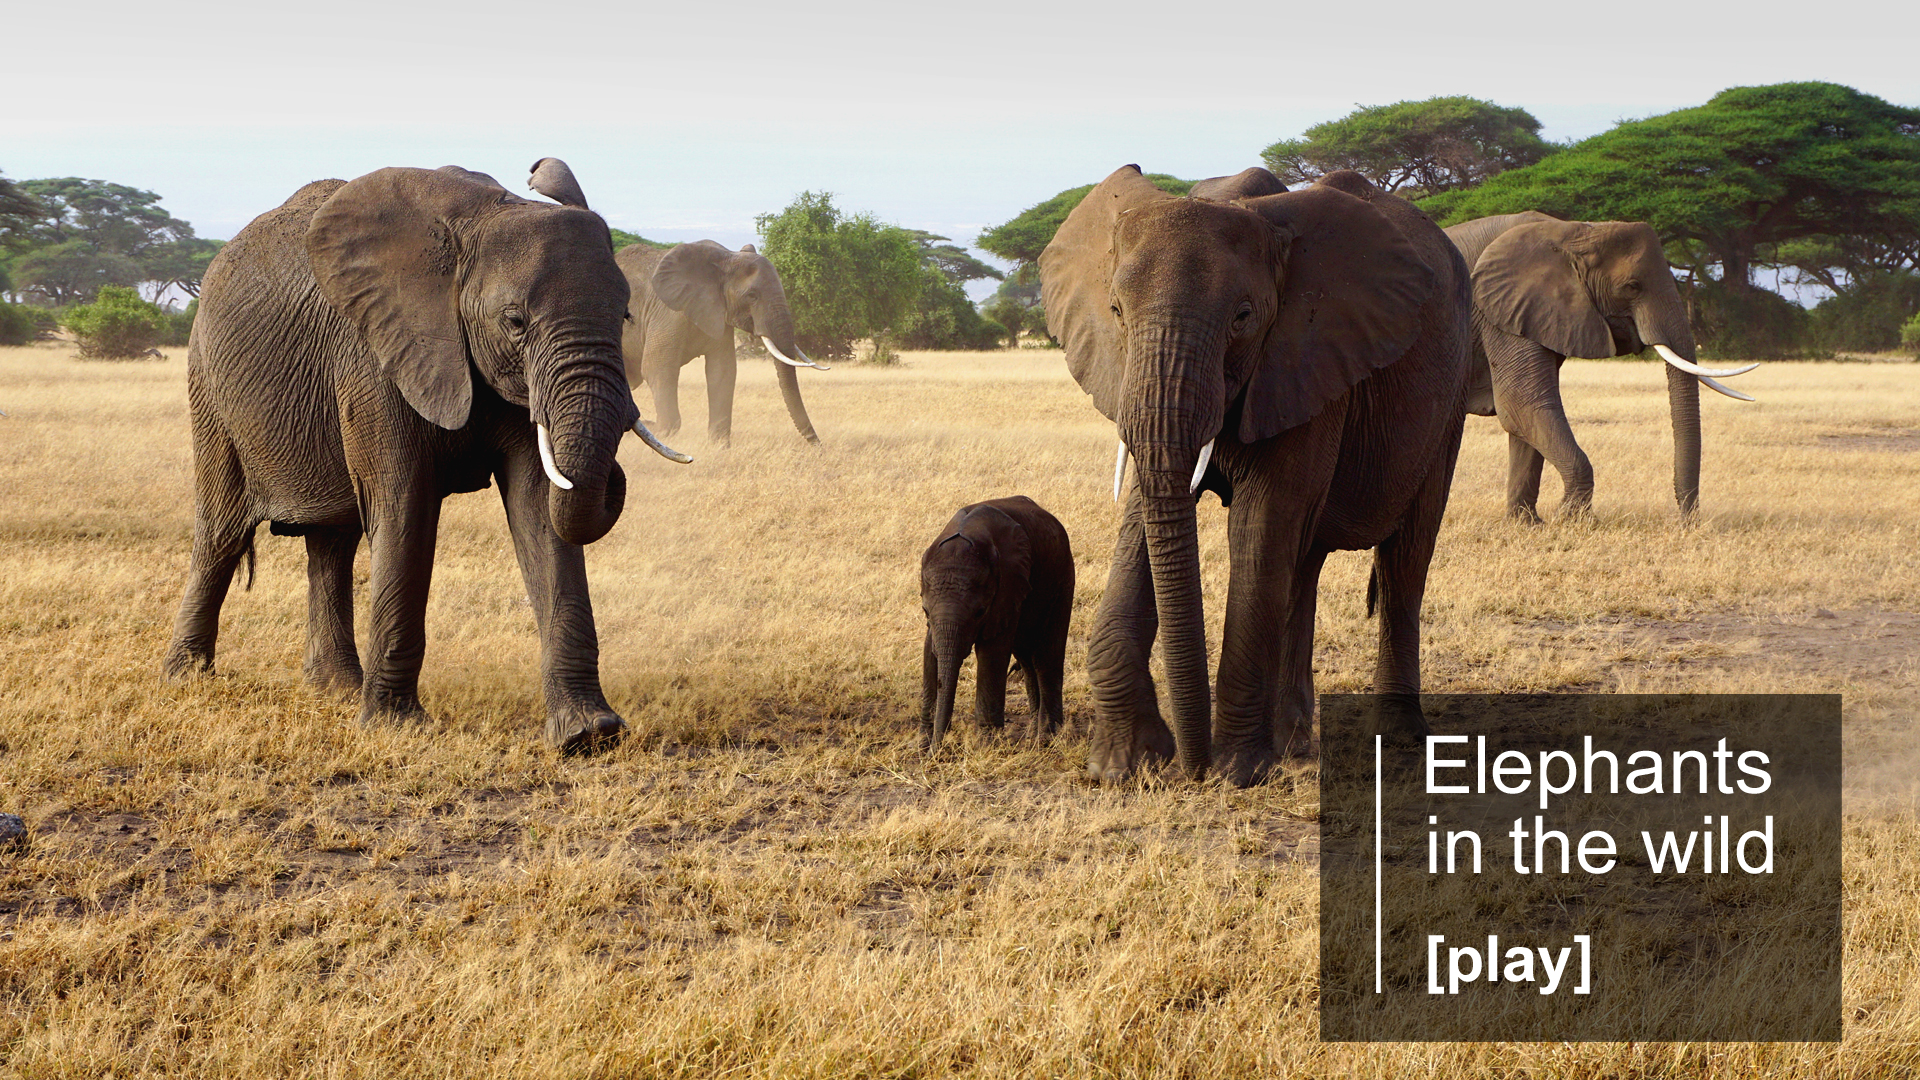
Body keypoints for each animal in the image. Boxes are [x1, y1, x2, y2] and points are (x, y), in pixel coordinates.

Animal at [161, 163, 688, 751]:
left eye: (625, 315)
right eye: (515, 322)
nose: (617, 472)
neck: (483, 220)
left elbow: (539, 510)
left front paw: (588, 735)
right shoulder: (376, 356)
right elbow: (404, 506)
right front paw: (395, 727)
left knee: (333, 542)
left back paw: (337, 690)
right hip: (208, 383)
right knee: (222, 533)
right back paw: (185, 678)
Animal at [526, 159, 825, 446]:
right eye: (751, 296)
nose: (817, 444)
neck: (724, 258)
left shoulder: (716, 314)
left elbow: (722, 371)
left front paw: (718, 446)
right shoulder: (669, 313)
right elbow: (658, 368)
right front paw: (658, 429)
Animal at [918, 496, 1074, 752]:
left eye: (980, 612)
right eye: (925, 611)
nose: (938, 750)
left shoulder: (1007, 586)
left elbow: (992, 654)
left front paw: (986, 747)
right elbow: (928, 653)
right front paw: (922, 746)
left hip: (1062, 578)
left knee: (1046, 656)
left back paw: (1047, 738)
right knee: (1027, 657)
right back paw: (1034, 733)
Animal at [1040, 165, 1473, 786]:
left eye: (1243, 318)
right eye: (1117, 311)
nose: (1189, 768)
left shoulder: (1305, 356)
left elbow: (1261, 520)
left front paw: (1234, 771)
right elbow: (1145, 514)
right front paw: (1121, 766)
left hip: (1453, 390)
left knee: (1404, 560)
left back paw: (1394, 737)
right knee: (1305, 562)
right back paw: (1292, 740)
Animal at [1444, 212, 1759, 520]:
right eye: (1632, 287)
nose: (1686, 522)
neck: (1572, 231)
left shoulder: (1534, 314)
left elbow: (1526, 415)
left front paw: (1526, 524)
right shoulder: (1499, 312)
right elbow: (1522, 403)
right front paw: (1571, 519)